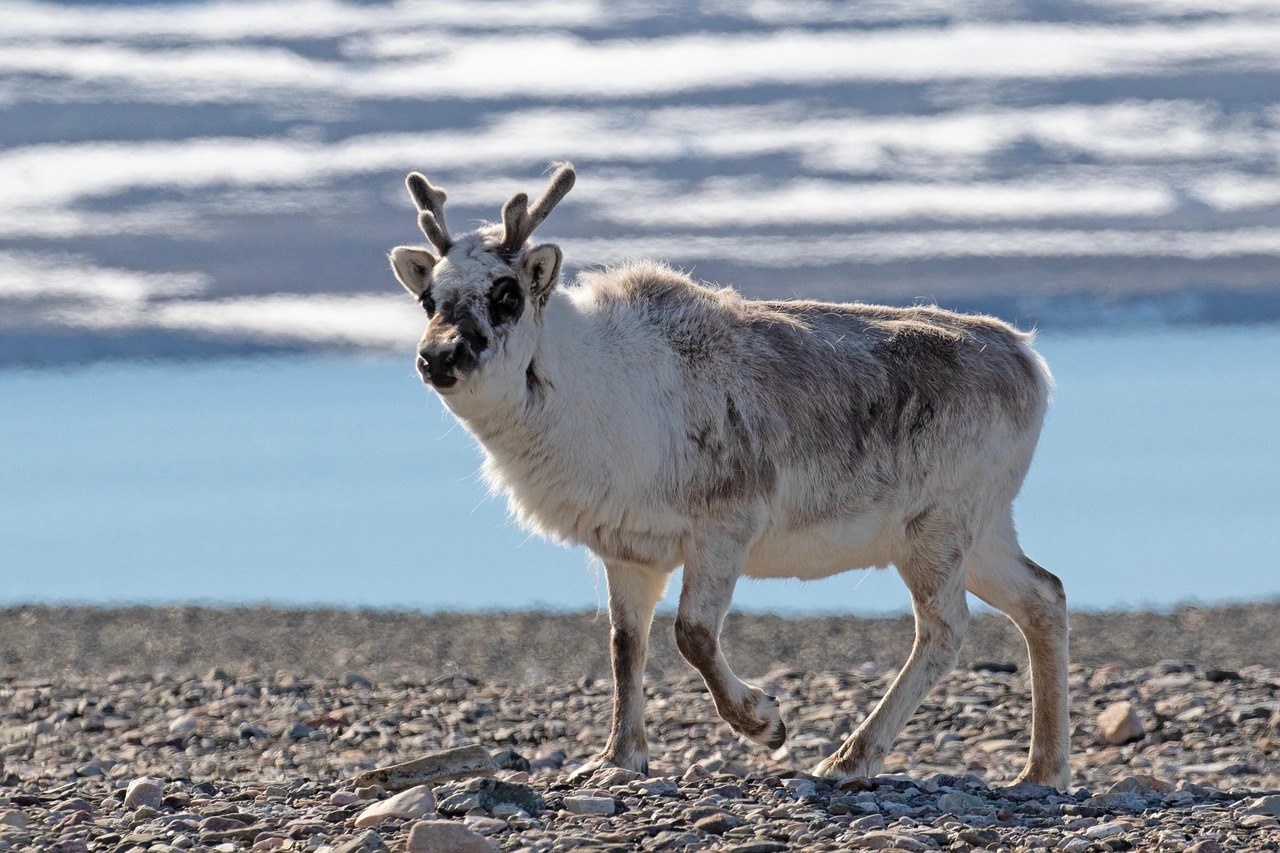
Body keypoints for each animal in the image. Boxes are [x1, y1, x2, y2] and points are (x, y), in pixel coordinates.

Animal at [388, 163, 1071, 790]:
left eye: (506, 293)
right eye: (428, 300)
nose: (438, 356)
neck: (585, 387)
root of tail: (1029, 361)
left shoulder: (726, 526)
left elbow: (691, 633)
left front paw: (766, 723)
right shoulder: (626, 550)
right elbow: (624, 646)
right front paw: (616, 760)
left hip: (937, 529)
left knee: (944, 629)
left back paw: (848, 759)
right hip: (982, 533)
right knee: (1045, 595)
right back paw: (1042, 771)